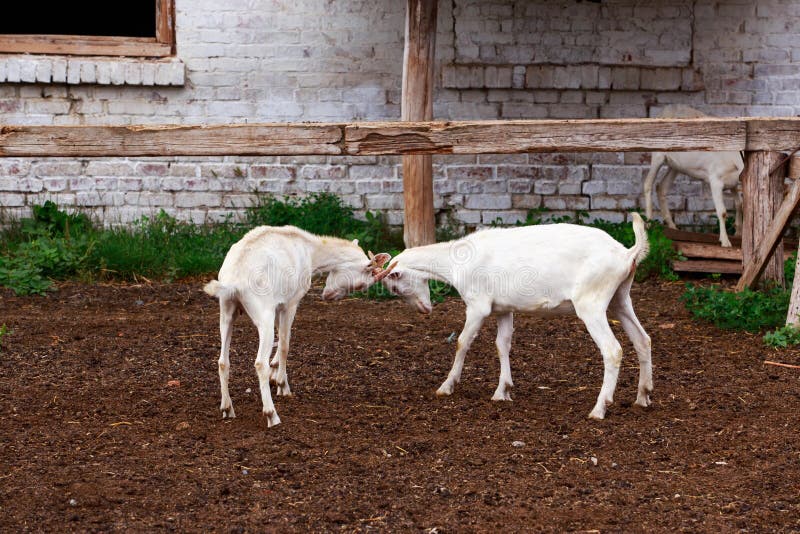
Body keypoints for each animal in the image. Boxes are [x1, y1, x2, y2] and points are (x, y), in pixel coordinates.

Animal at [204, 225, 391, 427]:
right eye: (362, 283)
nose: (329, 296)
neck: (310, 250)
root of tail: (234, 279)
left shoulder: (278, 304)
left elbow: (280, 338)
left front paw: (276, 373)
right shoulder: (290, 302)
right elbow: (285, 344)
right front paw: (283, 386)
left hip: (226, 309)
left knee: (223, 361)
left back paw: (227, 408)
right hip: (263, 314)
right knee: (260, 362)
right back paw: (271, 415)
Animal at [376, 214, 652, 420]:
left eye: (394, 285)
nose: (424, 309)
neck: (456, 262)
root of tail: (627, 254)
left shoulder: (477, 305)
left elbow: (462, 342)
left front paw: (446, 387)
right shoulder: (503, 308)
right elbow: (502, 344)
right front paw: (502, 391)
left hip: (591, 303)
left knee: (613, 350)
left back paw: (599, 408)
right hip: (620, 299)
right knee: (643, 339)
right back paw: (643, 396)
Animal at [644, 105, 744, 247]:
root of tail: (663, 112)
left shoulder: (733, 183)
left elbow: (739, 204)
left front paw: (738, 234)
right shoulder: (716, 180)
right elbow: (722, 211)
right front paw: (725, 241)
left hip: (675, 166)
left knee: (661, 187)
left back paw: (673, 227)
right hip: (658, 155)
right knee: (648, 183)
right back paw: (648, 225)